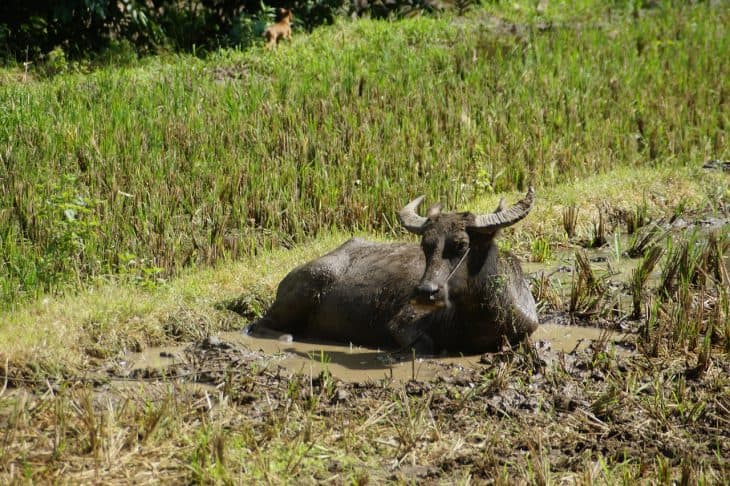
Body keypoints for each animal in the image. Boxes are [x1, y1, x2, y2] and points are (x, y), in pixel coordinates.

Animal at [248, 188, 538, 353]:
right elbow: (427, 346)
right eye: (426, 244)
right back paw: (286, 336)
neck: (477, 317)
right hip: (304, 289)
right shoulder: (401, 325)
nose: (425, 292)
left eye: (461, 244)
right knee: (258, 324)